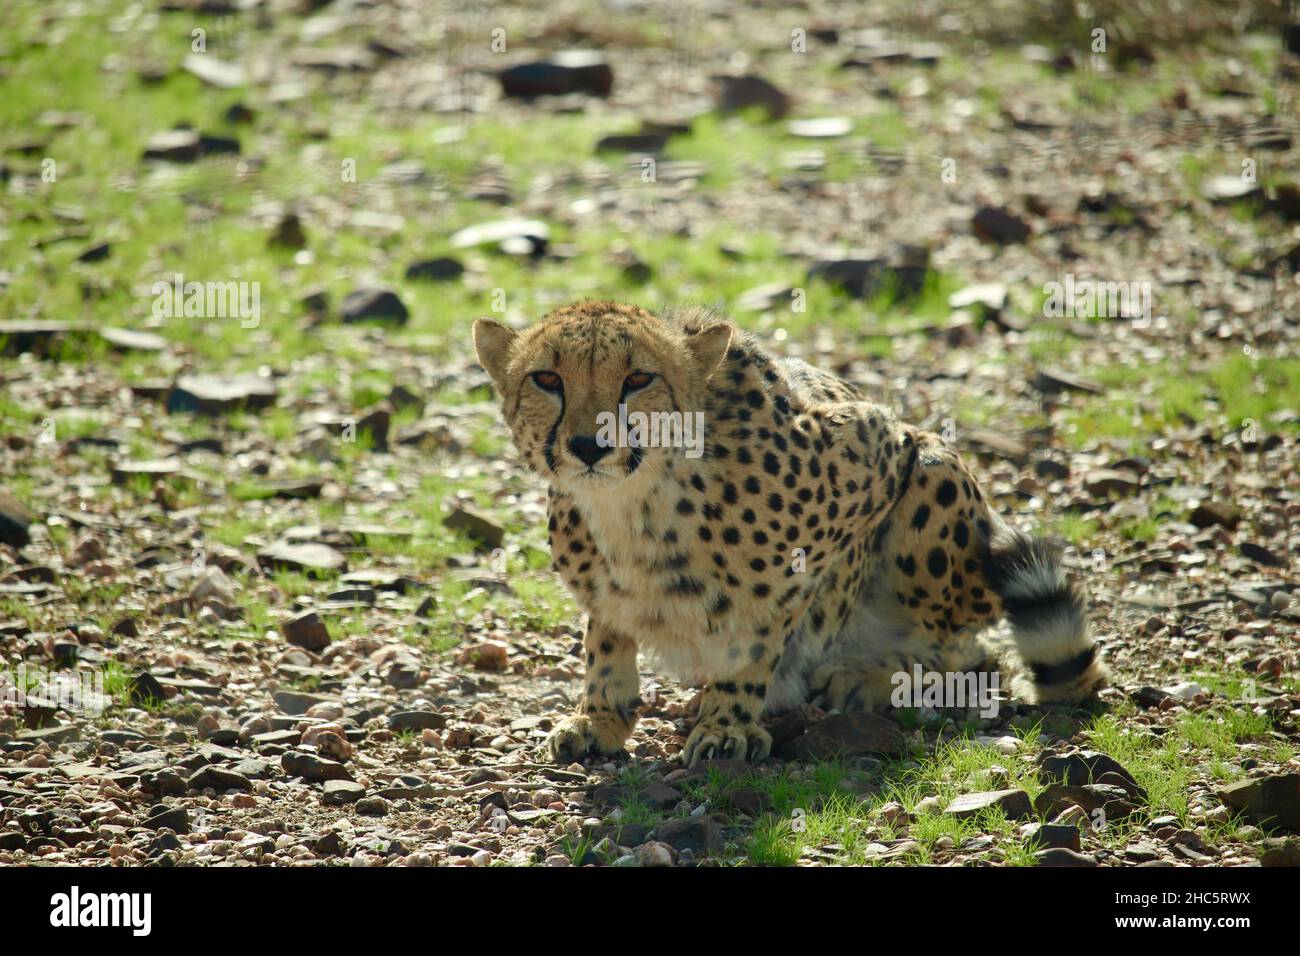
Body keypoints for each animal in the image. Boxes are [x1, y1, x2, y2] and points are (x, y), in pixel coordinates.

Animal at [473, 300, 1107, 767]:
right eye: (546, 378)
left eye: (639, 378)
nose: (588, 445)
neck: (634, 502)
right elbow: (607, 635)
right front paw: (601, 717)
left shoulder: (878, 448)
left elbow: (762, 625)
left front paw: (726, 723)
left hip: (934, 477)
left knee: (967, 653)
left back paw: (865, 678)